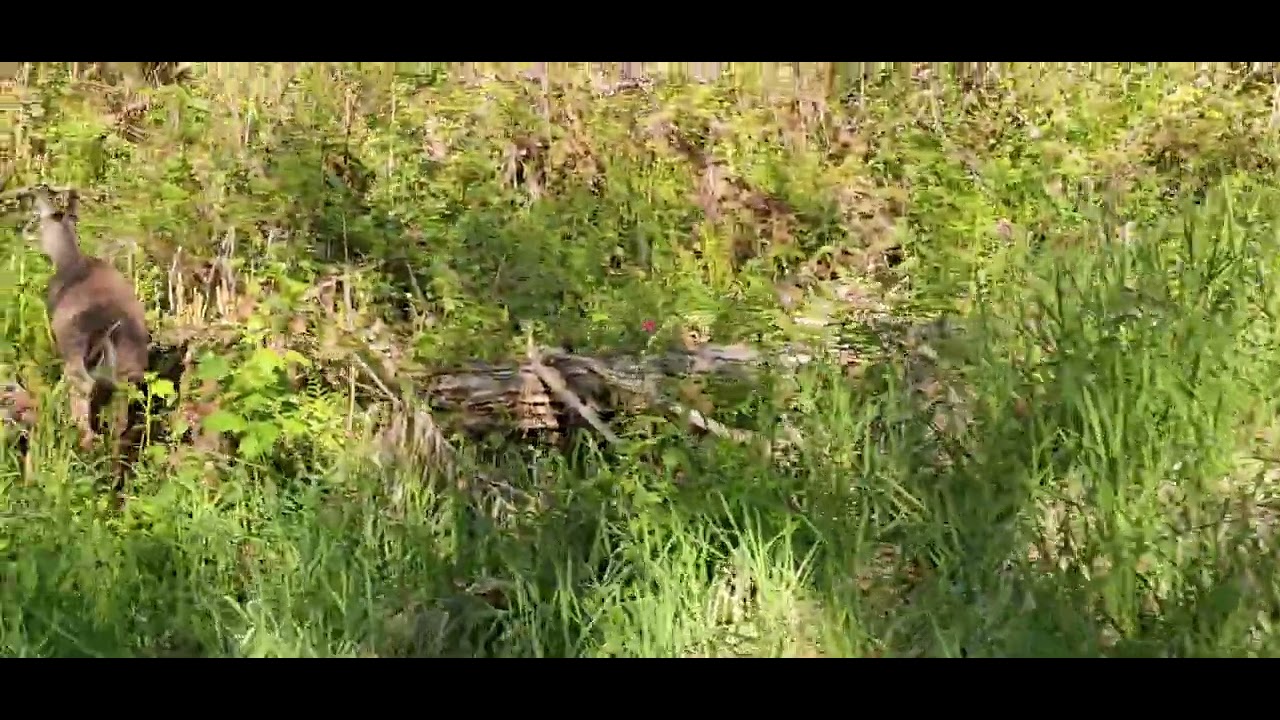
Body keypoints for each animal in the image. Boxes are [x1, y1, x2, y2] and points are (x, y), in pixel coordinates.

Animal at [29, 185, 150, 455]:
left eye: (38, 219)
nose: (27, 234)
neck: (68, 260)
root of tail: (109, 329)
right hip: (131, 368)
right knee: (120, 410)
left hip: (75, 349)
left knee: (82, 388)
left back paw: (82, 441)